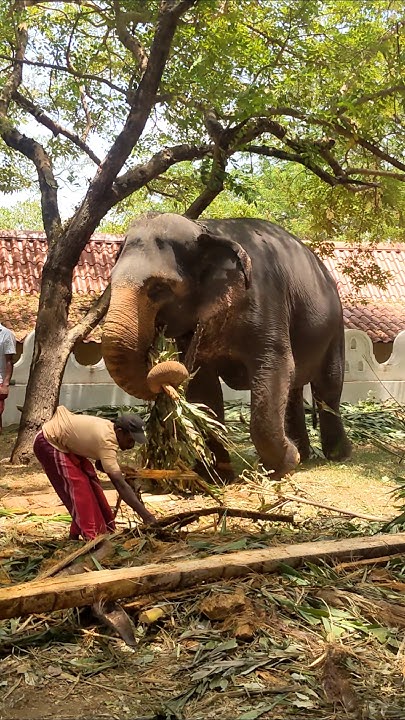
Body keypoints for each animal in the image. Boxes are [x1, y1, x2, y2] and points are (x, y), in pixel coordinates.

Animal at [102, 212, 351, 480]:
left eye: (159, 288)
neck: (204, 229)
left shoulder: (266, 302)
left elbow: (276, 368)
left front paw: (283, 465)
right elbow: (203, 386)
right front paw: (216, 476)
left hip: (335, 326)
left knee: (328, 385)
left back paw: (337, 455)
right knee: (295, 389)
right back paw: (303, 454)